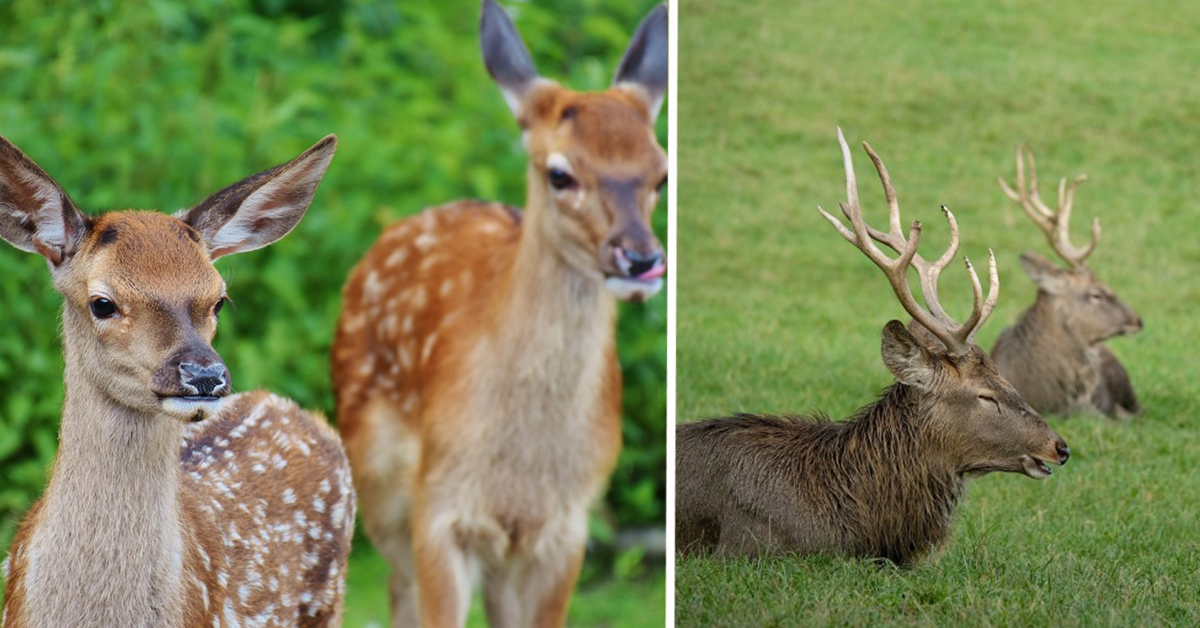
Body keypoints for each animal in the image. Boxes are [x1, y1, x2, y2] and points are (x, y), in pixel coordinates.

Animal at [330, 1, 667, 626]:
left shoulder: (566, 525)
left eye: (660, 174)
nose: (640, 259)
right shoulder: (440, 507)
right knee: (397, 587)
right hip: (379, 484)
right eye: (560, 173)